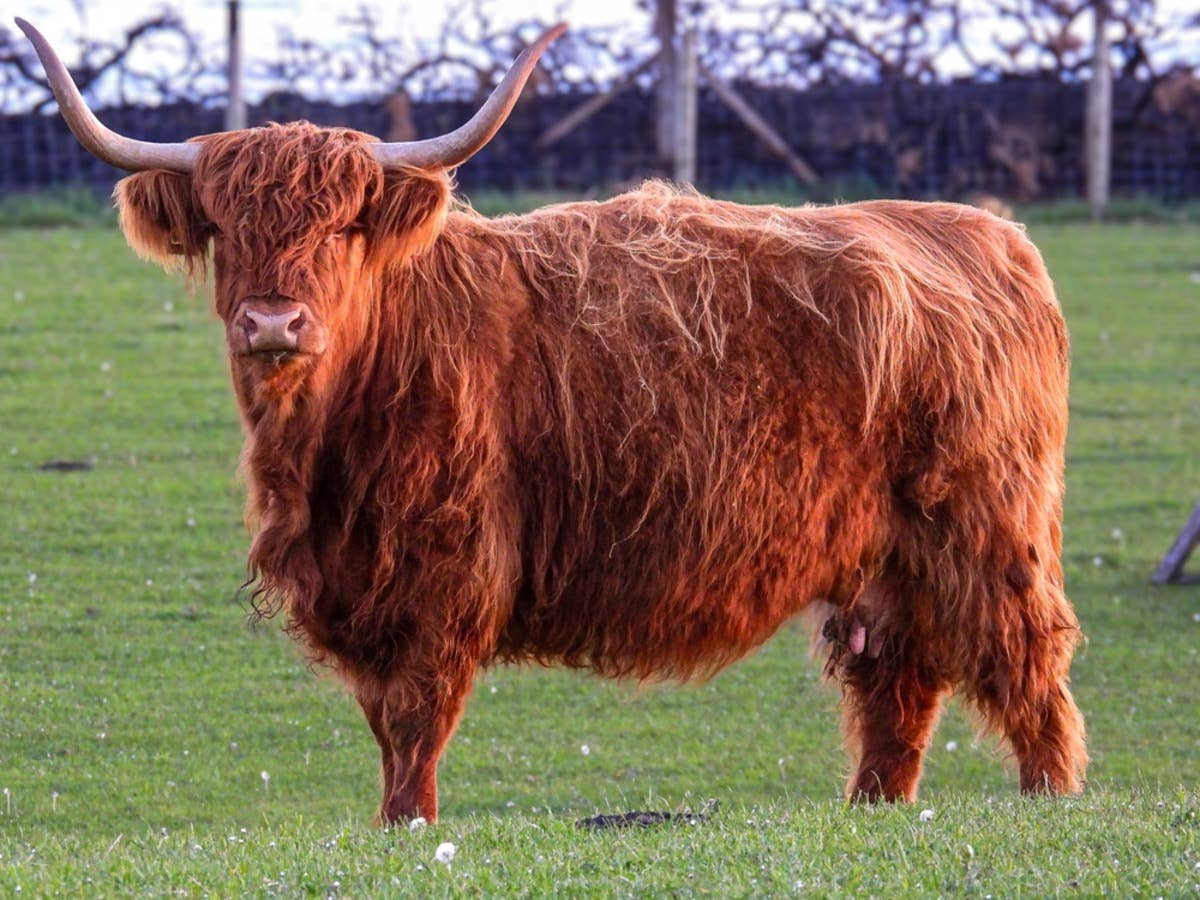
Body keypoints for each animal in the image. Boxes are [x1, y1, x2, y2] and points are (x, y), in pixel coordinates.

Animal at [20, 18, 1086, 824]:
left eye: (344, 225)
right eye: (230, 226)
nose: (274, 323)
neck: (321, 454)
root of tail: (986, 233)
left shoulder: (448, 567)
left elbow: (416, 721)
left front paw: (410, 825)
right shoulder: (361, 585)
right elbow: (384, 722)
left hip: (988, 528)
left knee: (1029, 663)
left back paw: (1051, 799)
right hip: (884, 566)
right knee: (896, 693)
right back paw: (873, 807)